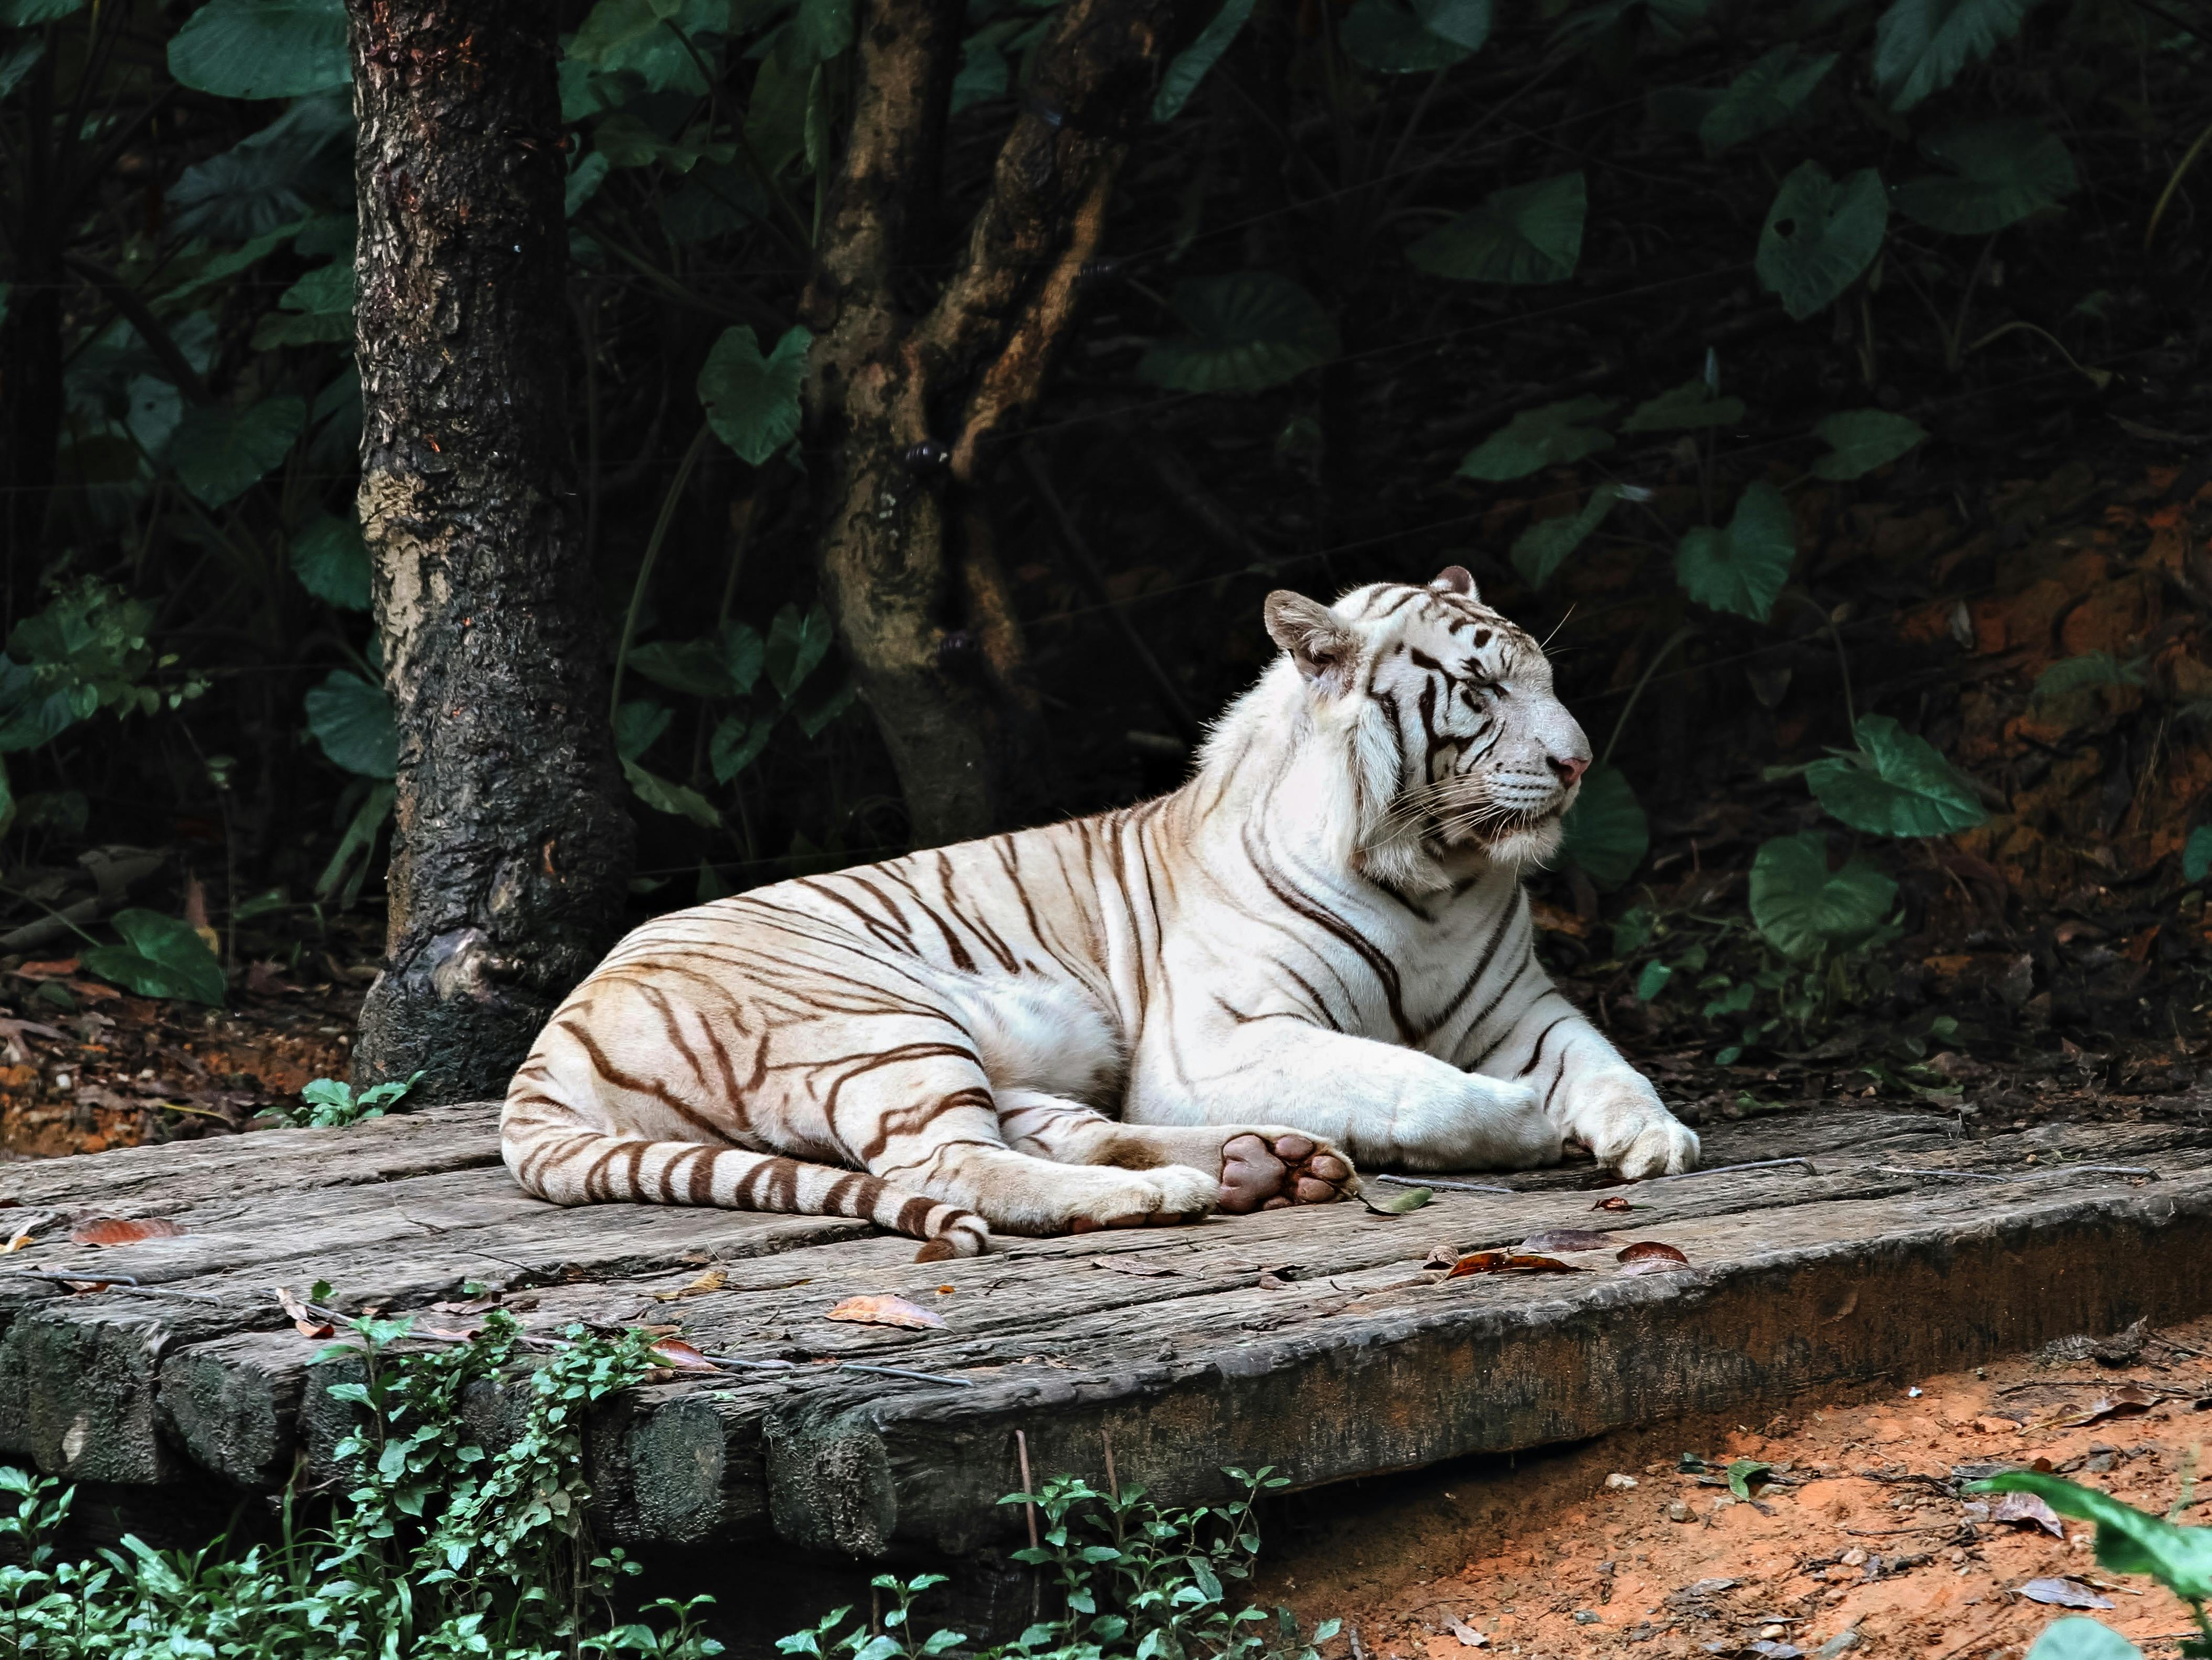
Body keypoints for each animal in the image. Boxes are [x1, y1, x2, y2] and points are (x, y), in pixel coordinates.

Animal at [501, 566, 1699, 1260]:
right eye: (1482, 691)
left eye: (1544, 677)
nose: (1579, 761)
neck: (1431, 874)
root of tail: (550, 1041)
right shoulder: (1217, 1038)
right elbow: (1404, 1078)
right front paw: (1525, 1124)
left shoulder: (1522, 1006)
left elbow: (1606, 1062)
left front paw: (1653, 1138)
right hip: (878, 1023)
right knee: (949, 1166)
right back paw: (1171, 1193)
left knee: (1055, 1130)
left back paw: (1263, 1163)